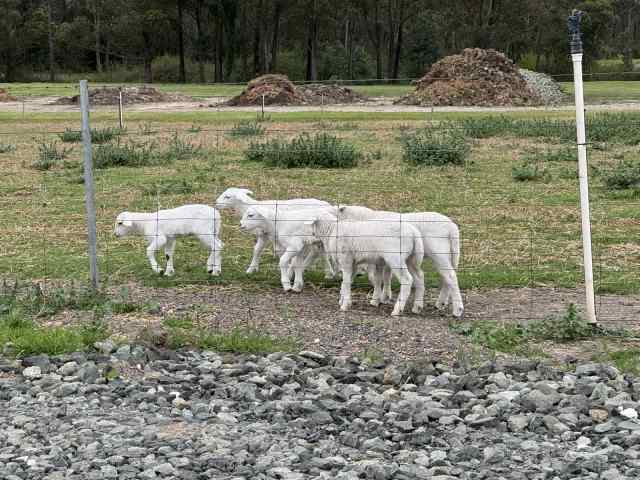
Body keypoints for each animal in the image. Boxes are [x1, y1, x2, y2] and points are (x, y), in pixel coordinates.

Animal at [330, 205, 463, 317]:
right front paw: (380, 298)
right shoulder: (380, 259)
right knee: (443, 276)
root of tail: (452, 227)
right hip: (436, 255)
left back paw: (457, 309)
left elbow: (376, 277)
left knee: (449, 276)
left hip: (437, 252)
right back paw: (436, 304)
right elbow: (382, 277)